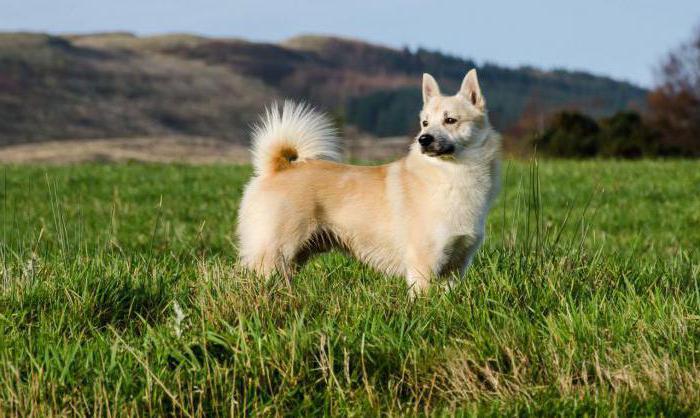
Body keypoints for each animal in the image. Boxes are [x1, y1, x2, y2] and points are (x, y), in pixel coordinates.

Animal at [238, 68, 500, 296]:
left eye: (451, 120)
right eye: (425, 123)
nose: (424, 139)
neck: (451, 174)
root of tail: (277, 169)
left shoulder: (457, 266)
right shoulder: (423, 265)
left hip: (295, 257)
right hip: (275, 252)